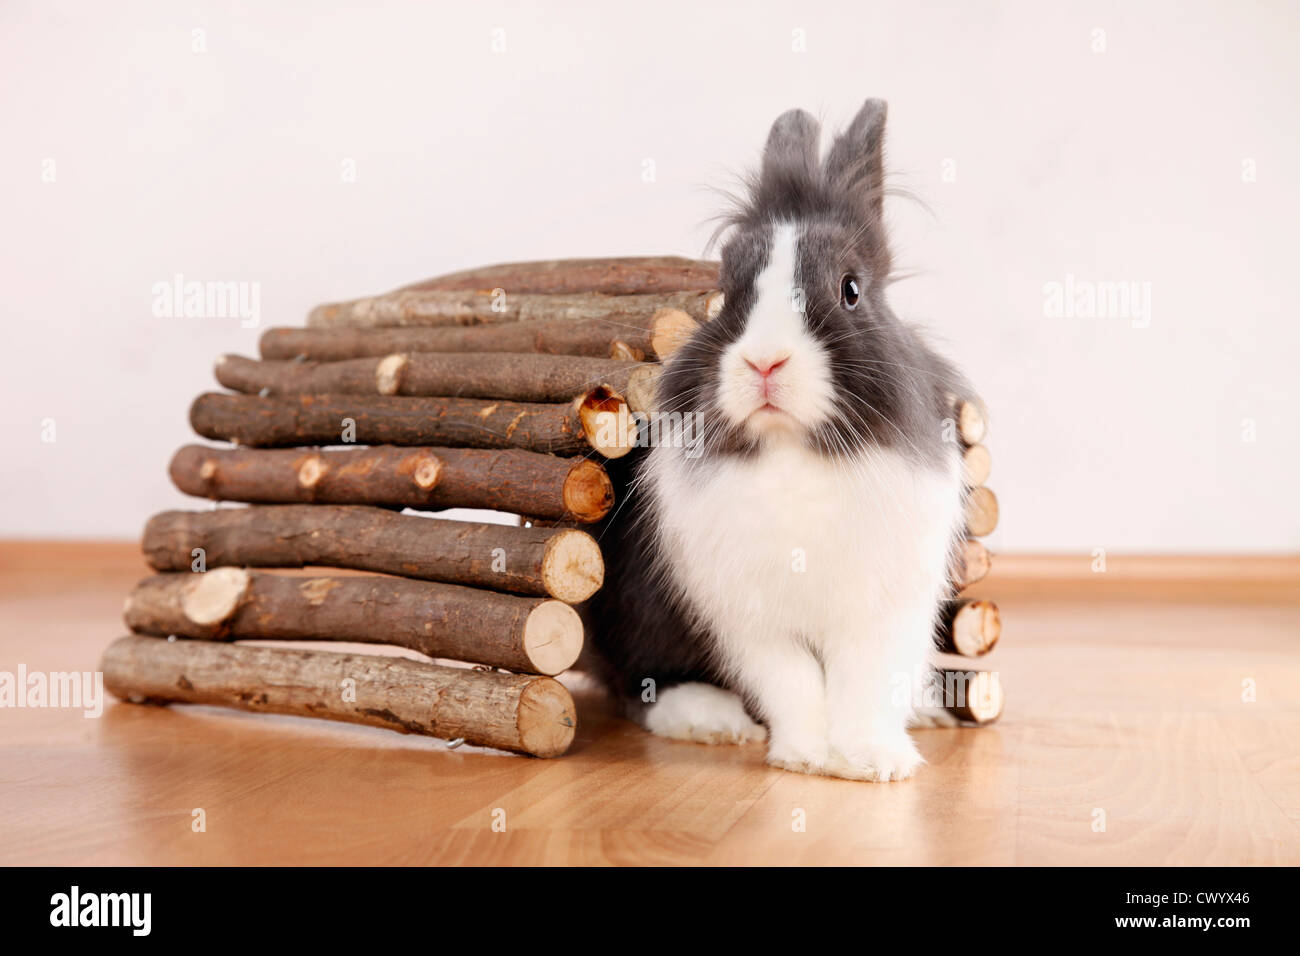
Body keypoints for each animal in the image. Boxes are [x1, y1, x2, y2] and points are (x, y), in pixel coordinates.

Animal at [582, 99, 977, 782]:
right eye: (725, 295)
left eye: (851, 289)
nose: (765, 361)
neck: (794, 452)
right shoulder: (752, 619)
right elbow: (792, 683)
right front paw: (808, 757)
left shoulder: (883, 610)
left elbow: (864, 685)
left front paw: (876, 762)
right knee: (638, 683)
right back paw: (708, 719)